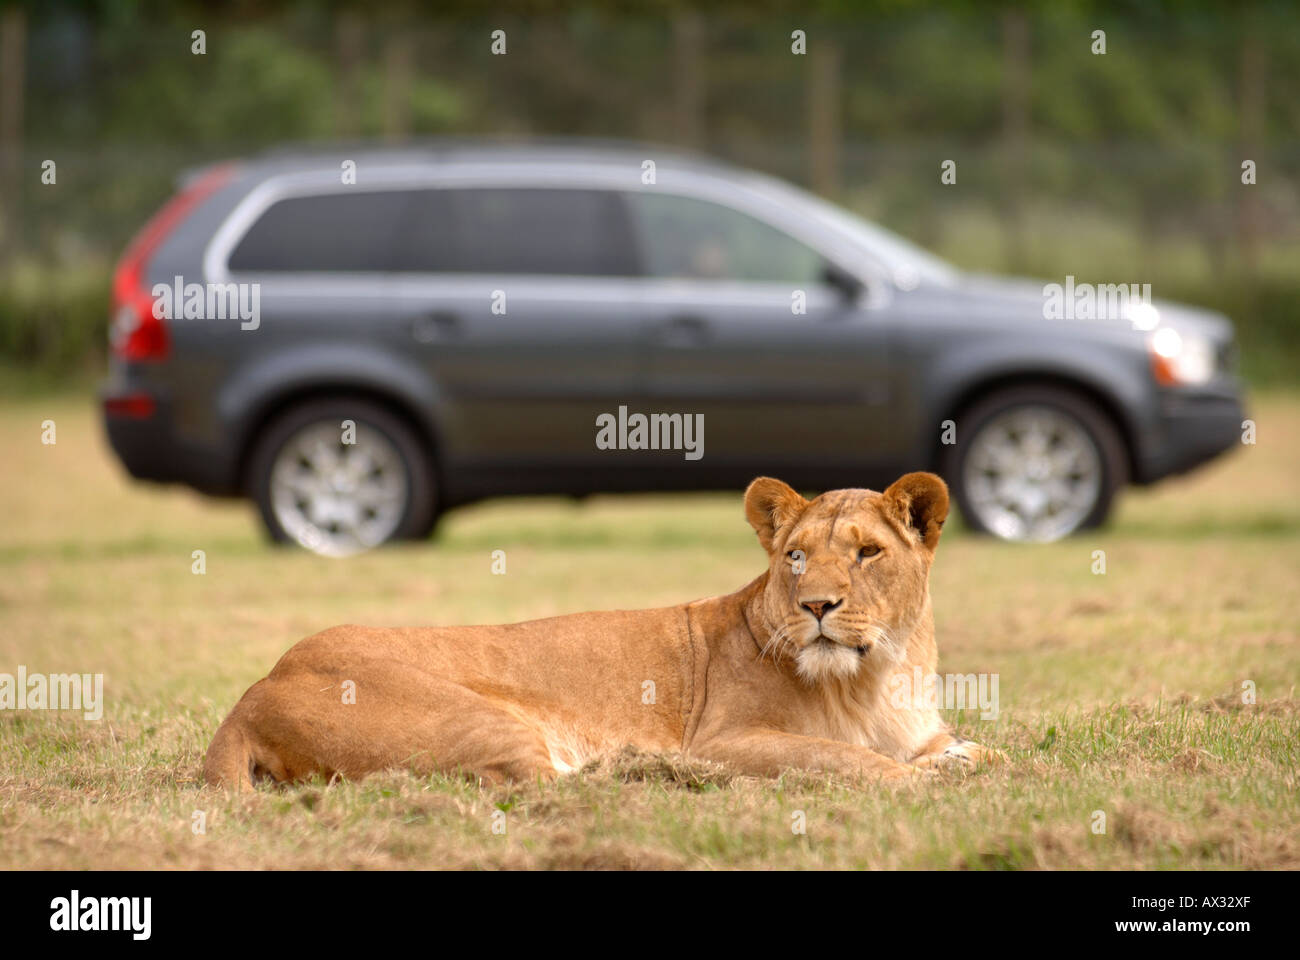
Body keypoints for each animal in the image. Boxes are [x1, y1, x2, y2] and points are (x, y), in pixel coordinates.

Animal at [204, 472, 998, 790]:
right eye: (796, 557)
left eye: (867, 554)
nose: (817, 607)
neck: (877, 676)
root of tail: (255, 688)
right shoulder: (728, 738)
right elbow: (848, 760)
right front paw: (925, 779)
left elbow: (984, 751)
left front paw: (964, 760)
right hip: (482, 718)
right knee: (538, 783)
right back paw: (644, 769)